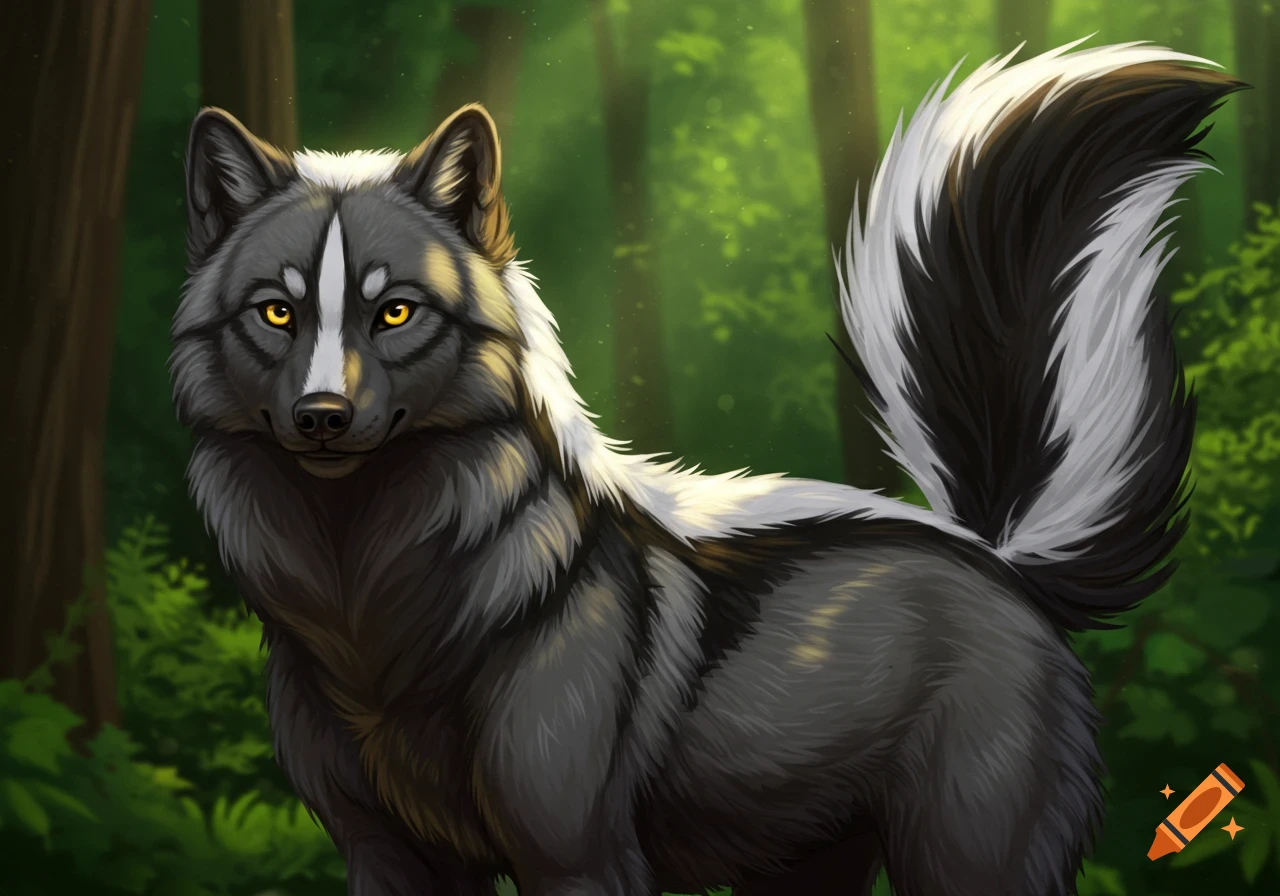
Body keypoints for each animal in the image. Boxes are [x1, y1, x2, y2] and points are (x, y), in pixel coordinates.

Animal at [172, 39, 1241, 896]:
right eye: (277, 311)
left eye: (395, 311)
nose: (321, 417)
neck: (369, 615)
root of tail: (996, 557)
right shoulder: (385, 855)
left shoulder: (578, 856)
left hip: (967, 857)